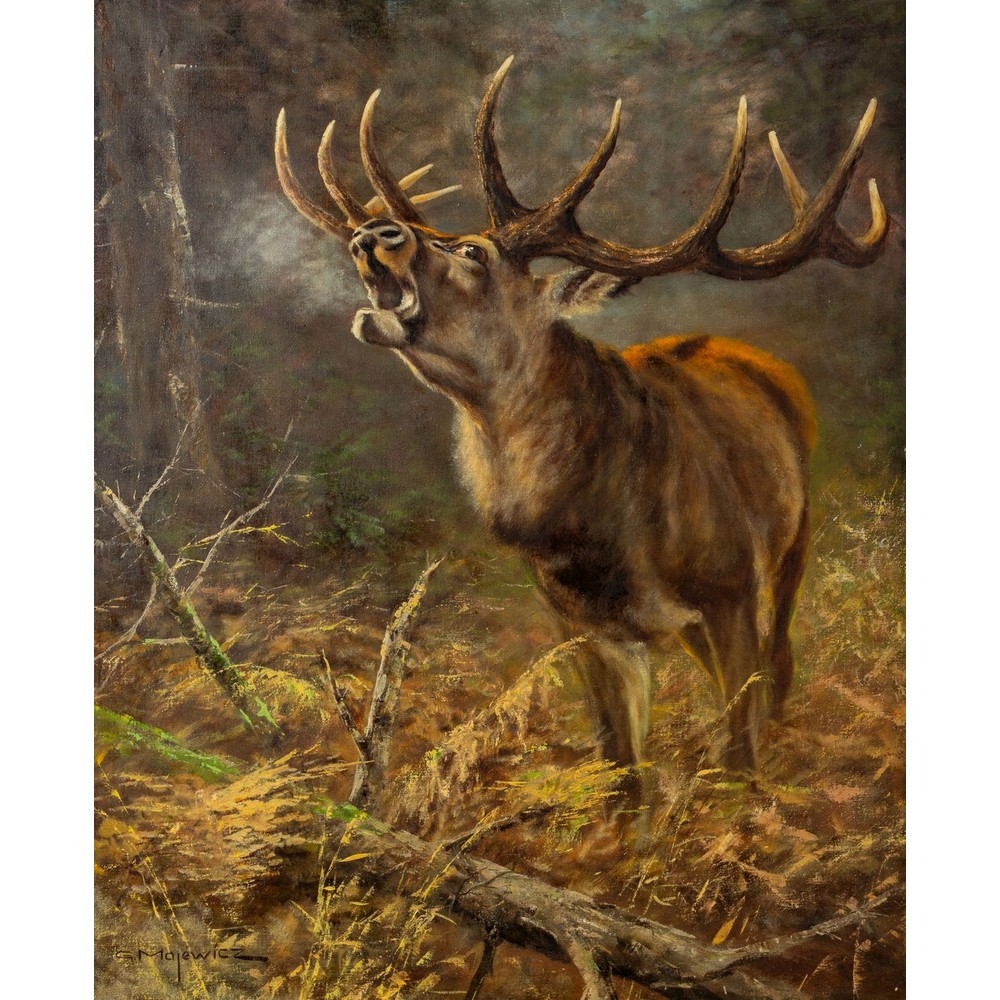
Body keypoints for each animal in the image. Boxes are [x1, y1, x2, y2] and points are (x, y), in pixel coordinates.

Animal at [274, 57, 888, 790]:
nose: (376, 234)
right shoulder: (582, 625)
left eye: (474, 254)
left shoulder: (730, 586)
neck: (601, 532)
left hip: (794, 539)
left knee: (781, 657)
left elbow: (740, 749)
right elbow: (621, 768)